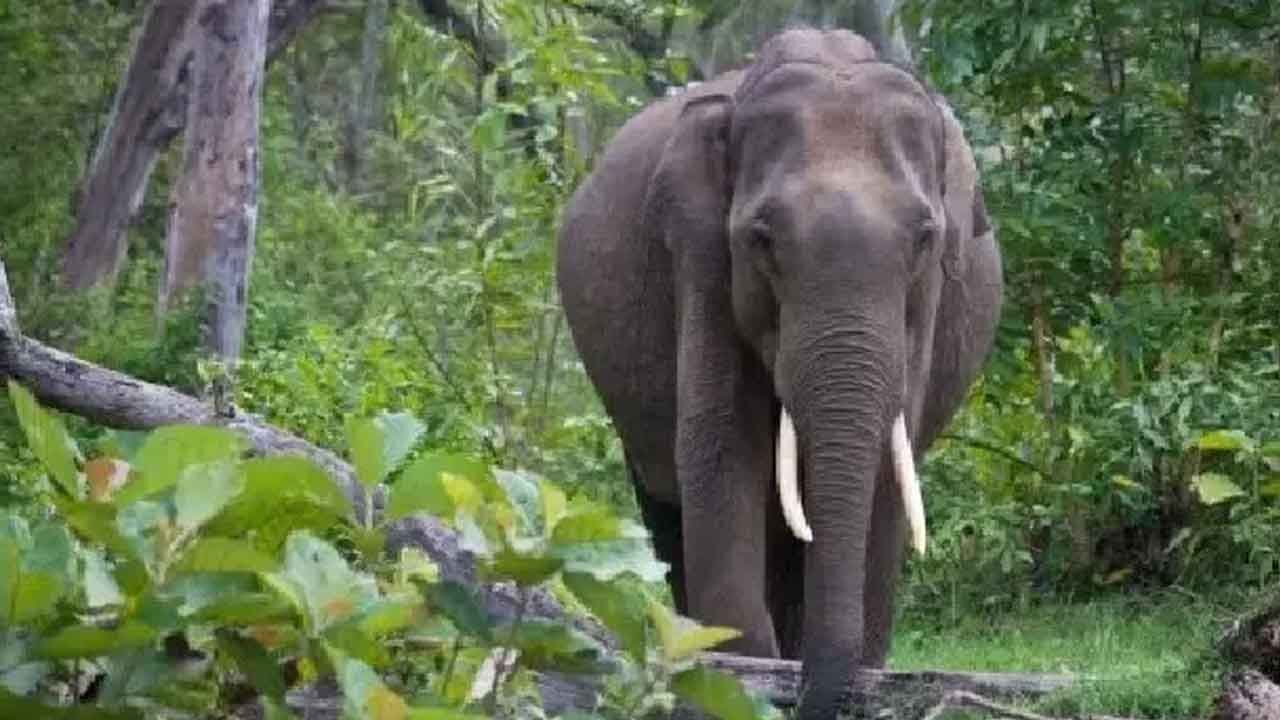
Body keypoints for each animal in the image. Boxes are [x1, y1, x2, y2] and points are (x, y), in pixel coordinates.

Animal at [556, 28, 1002, 719]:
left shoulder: (928, 301)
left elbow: (886, 467)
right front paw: (742, 676)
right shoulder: (700, 255)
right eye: (762, 239)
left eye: (925, 239)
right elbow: (722, 446)